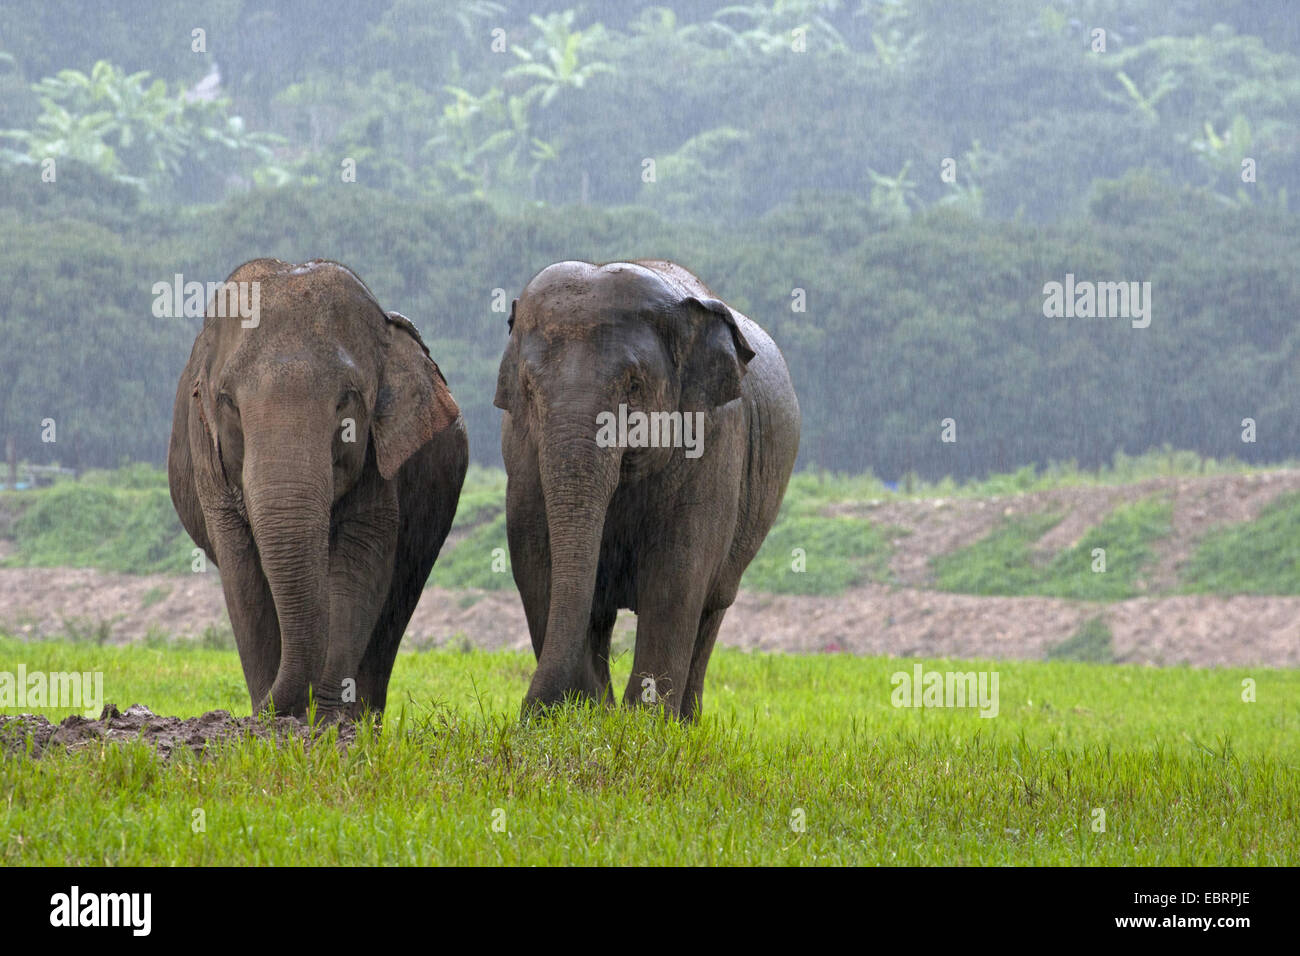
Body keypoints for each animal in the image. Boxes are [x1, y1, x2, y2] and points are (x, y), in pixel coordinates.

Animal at [168, 258, 468, 720]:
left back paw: (360, 717)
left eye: (346, 400)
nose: (262, 712)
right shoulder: (208, 462)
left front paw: (326, 721)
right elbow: (242, 577)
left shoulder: (379, 462)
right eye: (228, 403)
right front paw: (272, 720)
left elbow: (359, 563)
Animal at [495, 259, 800, 720]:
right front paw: (583, 717)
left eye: (634, 385)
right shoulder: (521, 451)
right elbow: (534, 560)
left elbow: (677, 571)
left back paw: (684, 723)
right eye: (528, 389)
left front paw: (643, 723)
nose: (528, 713)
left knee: (711, 607)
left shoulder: (714, 439)